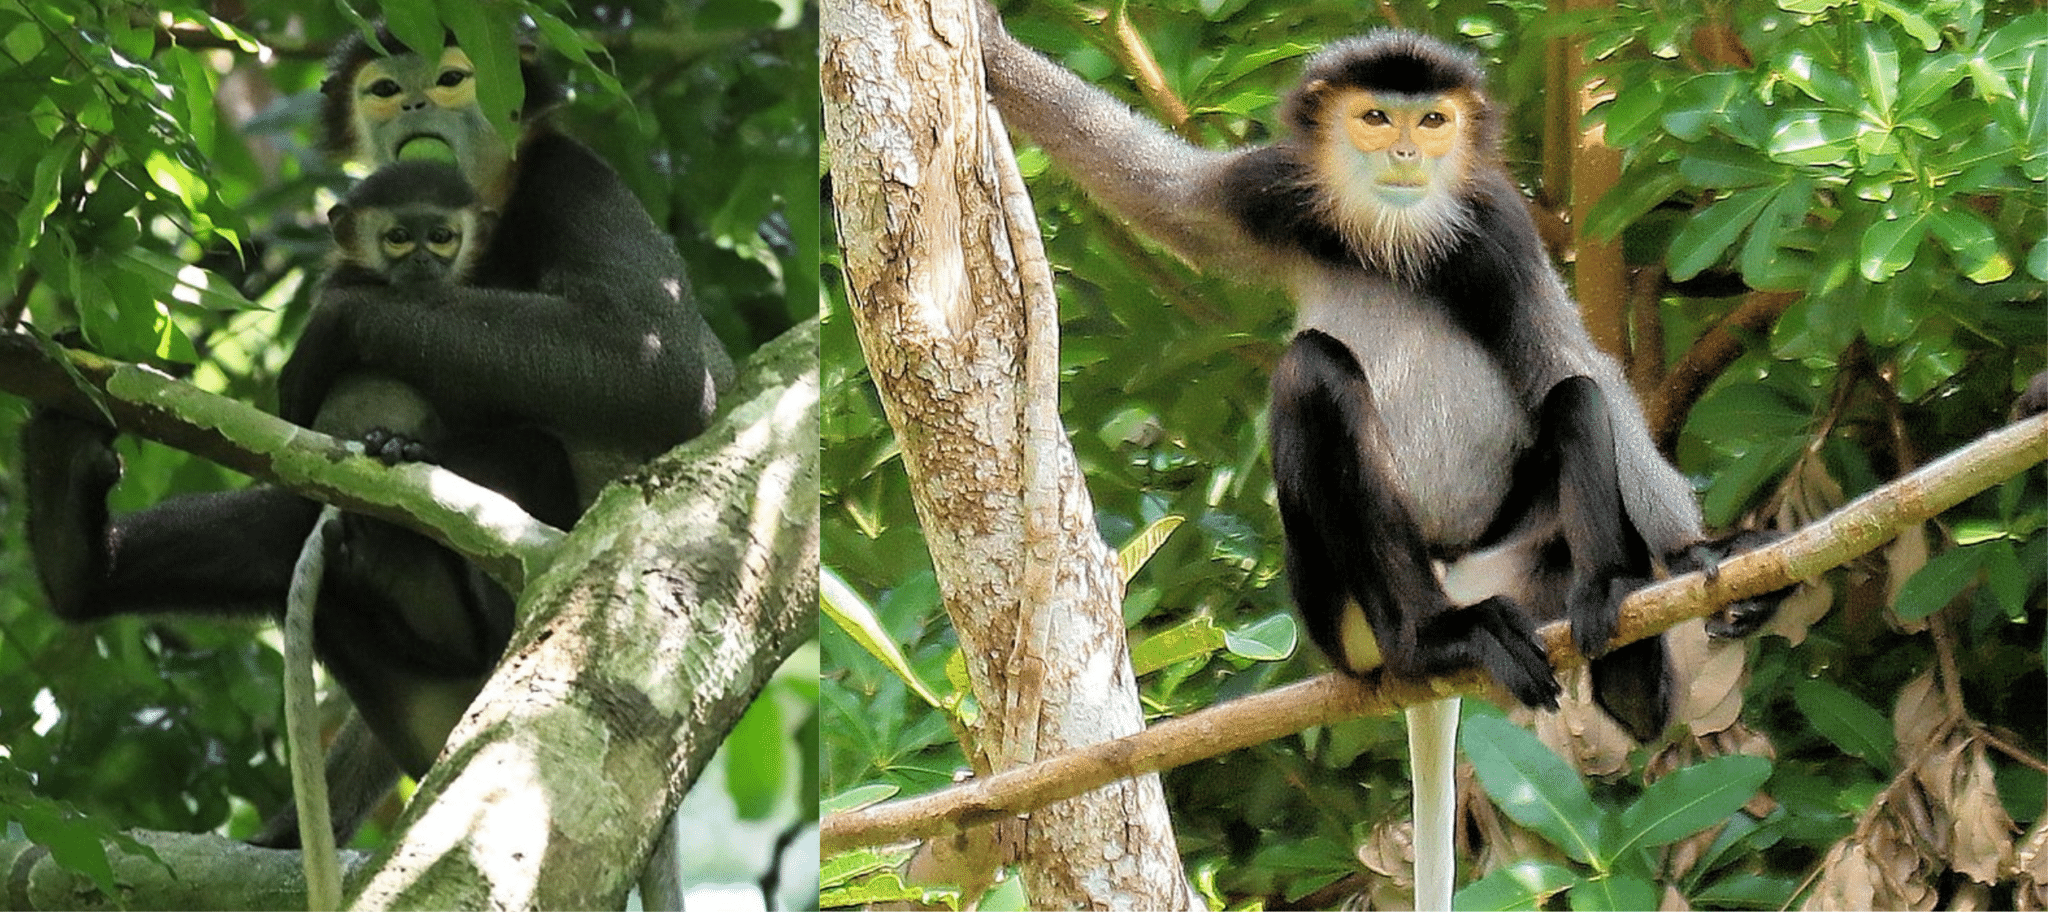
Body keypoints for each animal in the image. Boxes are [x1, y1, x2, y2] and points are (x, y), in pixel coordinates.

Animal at [19, 25, 727, 848]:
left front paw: (337, 322)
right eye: (385, 90)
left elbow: (663, 369)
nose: (417, 103)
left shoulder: (573, 177)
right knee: (289, 531)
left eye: (453, 78)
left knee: (522, 451)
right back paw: (73, 539)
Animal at [977, 13, 1785, 908]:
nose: (1405, 152)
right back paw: (1434, 641)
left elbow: (1576, 364)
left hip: (1524, 574)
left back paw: (1625, 655)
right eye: (1375, 117)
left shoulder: (1499, 228)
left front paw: (1701, 552)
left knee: (1574, 399)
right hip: (1339, 611)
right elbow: (1154, 188)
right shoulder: (1273, 188)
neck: (1391, 238)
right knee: (1313, 370)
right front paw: (990, 48)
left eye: (1432, 121)